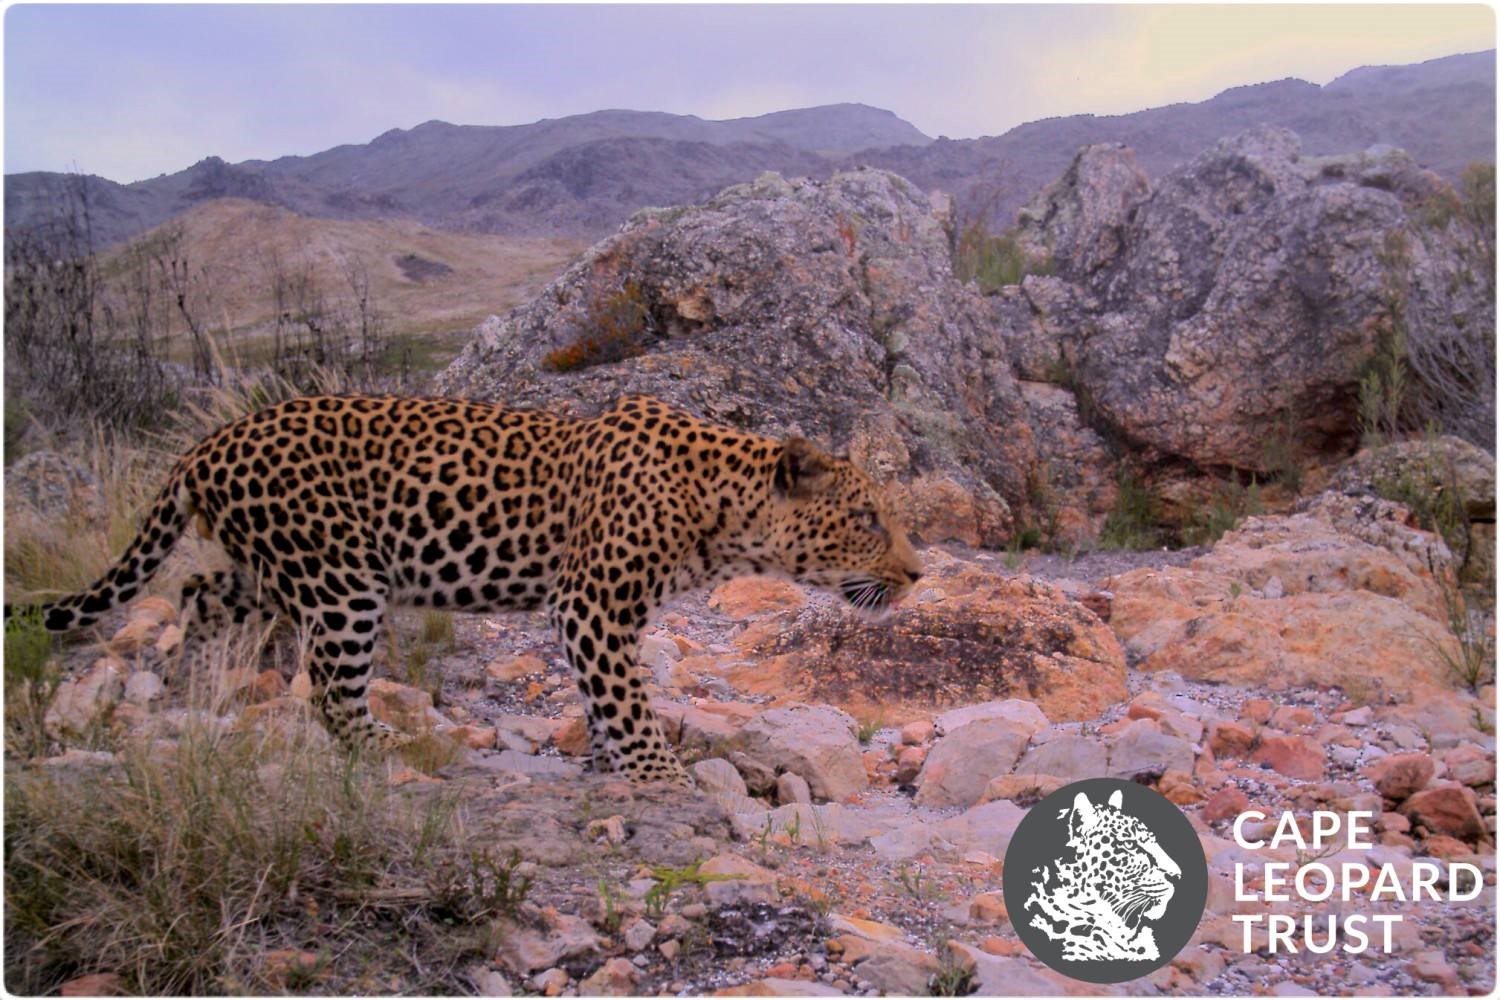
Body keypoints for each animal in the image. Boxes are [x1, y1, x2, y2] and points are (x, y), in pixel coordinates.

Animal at [18, 393, 923, 783]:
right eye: (869, 519)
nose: (918, 574)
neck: (718, 511)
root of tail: (206, 444)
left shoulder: (600, 617)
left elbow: (607, 699)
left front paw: (611, 766)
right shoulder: (591, 605)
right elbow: (626, 701)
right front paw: (664, 780)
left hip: (272, 568)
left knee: (201, 593)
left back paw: (200, 692)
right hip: (340, 582)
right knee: (333, 696)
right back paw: (409, 750)